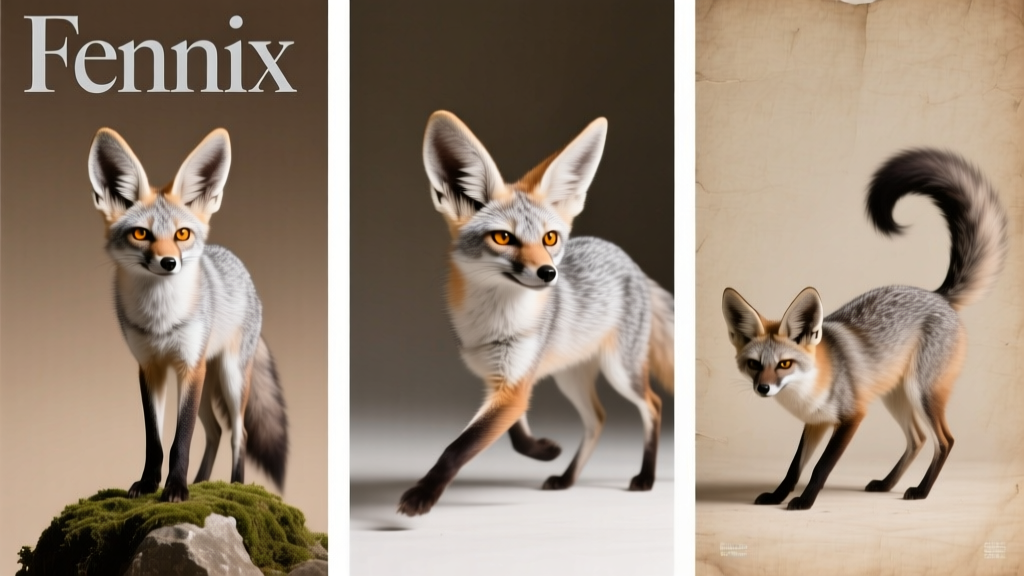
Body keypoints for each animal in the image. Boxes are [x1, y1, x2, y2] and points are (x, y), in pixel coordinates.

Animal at [88, 127, 289, 502]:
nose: (169, 263)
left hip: (230, 378)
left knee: (238, 433)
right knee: (215, 431)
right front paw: (149, 484)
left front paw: (176, 488)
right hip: (209, 381)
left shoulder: (188, 366)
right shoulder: (150, 368)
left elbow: (181, 438)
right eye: (141, 234)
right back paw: (202, 481)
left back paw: (235, 485)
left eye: (182, 234)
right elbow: (155, 440)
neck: (160, 320)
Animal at [396, 111, 675, 517]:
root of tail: (632, 264)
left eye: (550, 239)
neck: (494, 323)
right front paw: (542, 450)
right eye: (503, 238)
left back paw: (645, 478)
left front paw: (422, 494)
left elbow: (458, 447)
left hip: (620, 372)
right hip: (570, 377)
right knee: (598, 419)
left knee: (652, 405)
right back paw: (567, 477)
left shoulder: (514, 383)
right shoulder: (502, 381)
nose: (548, 273)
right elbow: (513, 433)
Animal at [722, 148, 1008, 510]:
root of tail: (938, 294)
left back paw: (921, 491)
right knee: (918, 438)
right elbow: (794, 467)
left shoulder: (851, 417)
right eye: (755, 364)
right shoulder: (817, 422)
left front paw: (805, 501)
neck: (810, 387)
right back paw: (887, 484)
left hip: (922, 393)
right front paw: (778, 495)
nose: (763, 388)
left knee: (945, 440)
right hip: (896, 398)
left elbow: (820, 467)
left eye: (784, 364)